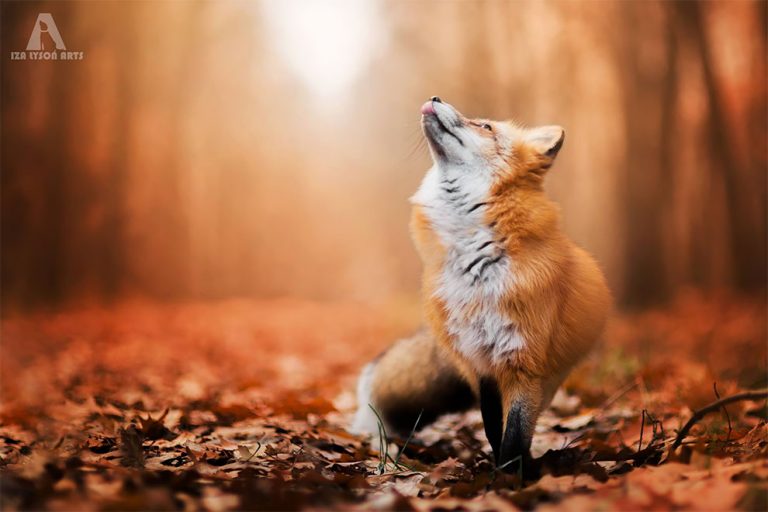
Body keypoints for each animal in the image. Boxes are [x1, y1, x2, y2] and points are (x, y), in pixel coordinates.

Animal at [352, 97, 611, 475]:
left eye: (485, 126)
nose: (435, 98)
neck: (475, 268)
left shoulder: (523, 361)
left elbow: (515, 434)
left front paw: (510, 478)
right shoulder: (479, 363)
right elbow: (493, 427)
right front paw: (500, 472)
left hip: (549, 376)